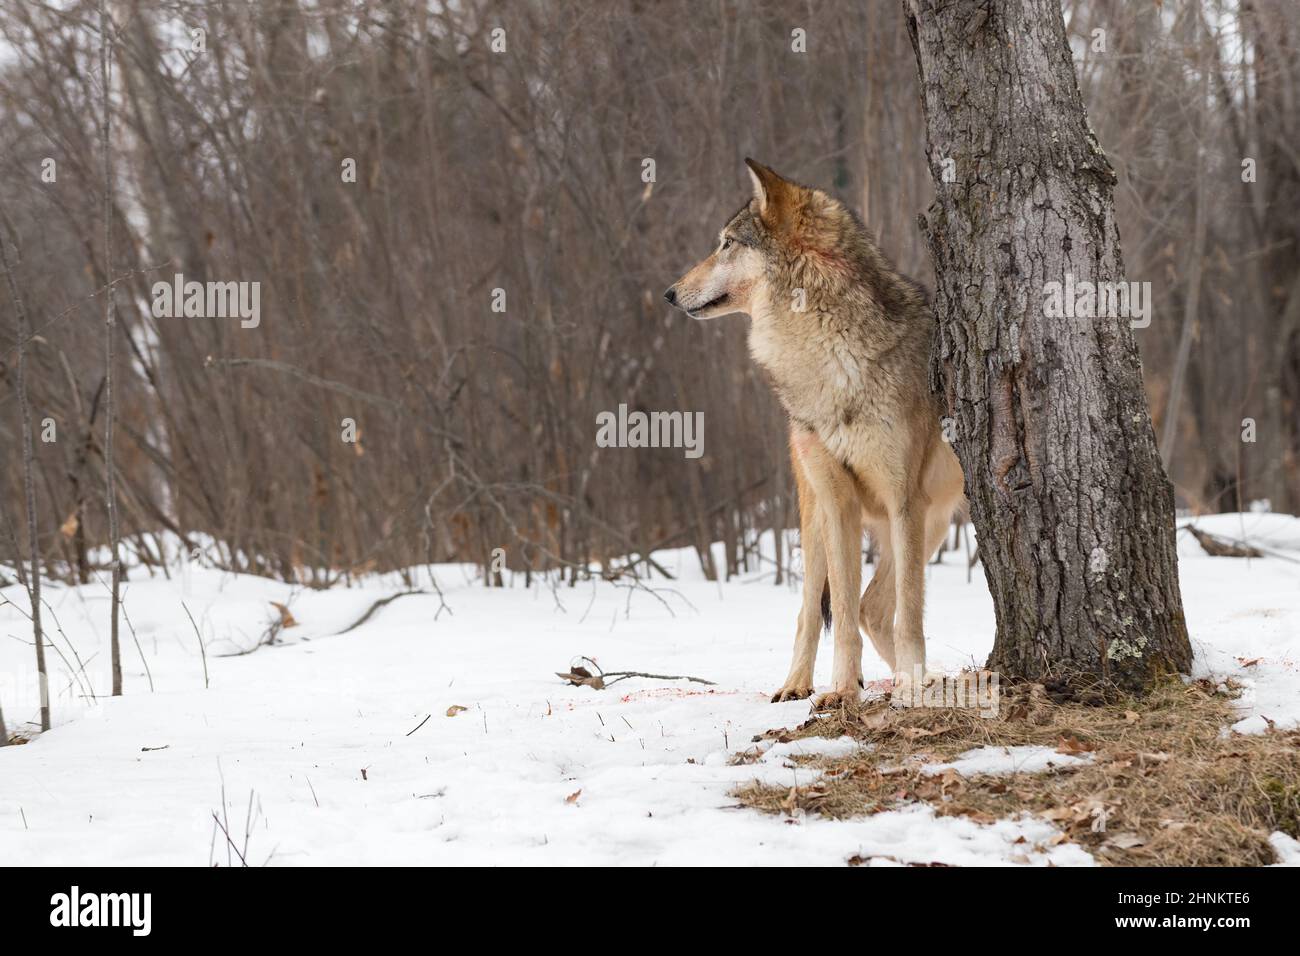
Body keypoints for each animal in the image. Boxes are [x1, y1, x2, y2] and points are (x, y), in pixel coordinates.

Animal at [665, 159, 965, 708]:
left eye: (726, 244)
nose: (669, 293)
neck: (827, 353)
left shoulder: (902, 500)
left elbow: (909, 611)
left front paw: (908, 689)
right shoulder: (838, 501)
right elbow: (841, 613)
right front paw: (843, 691)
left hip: (928, 518)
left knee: (878, 606)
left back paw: (920, 679)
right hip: (818, 514)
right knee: (826, 608)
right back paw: (797, 685)